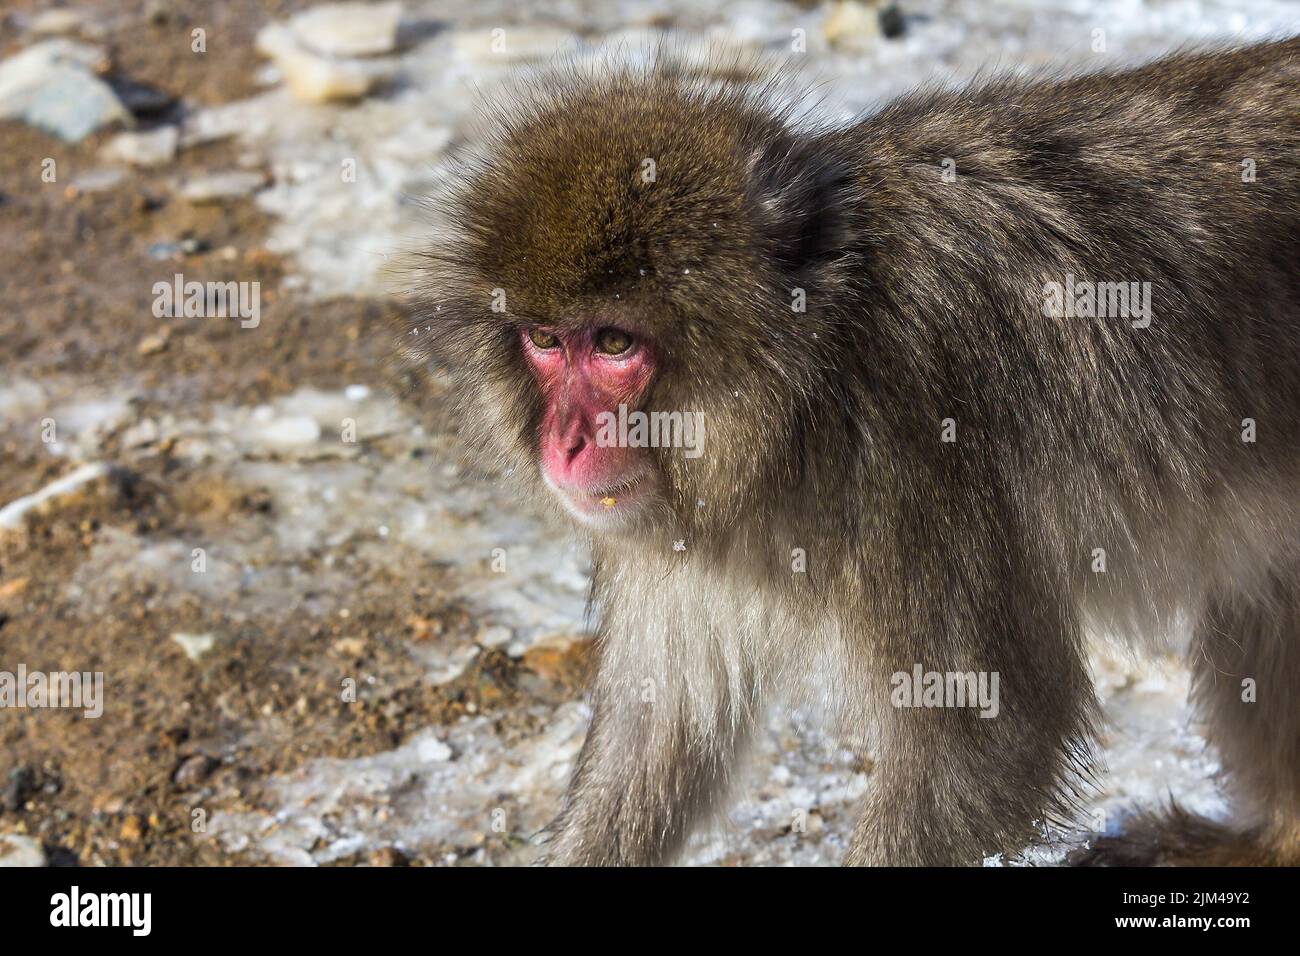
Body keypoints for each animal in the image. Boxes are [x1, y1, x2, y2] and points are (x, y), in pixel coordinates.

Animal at [413, 37, 1300, 866]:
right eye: (544, 342)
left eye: (613, 343)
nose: (564, 442)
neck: (806, 376)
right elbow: (658, 736)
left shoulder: (915, 446)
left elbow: (991, 741)